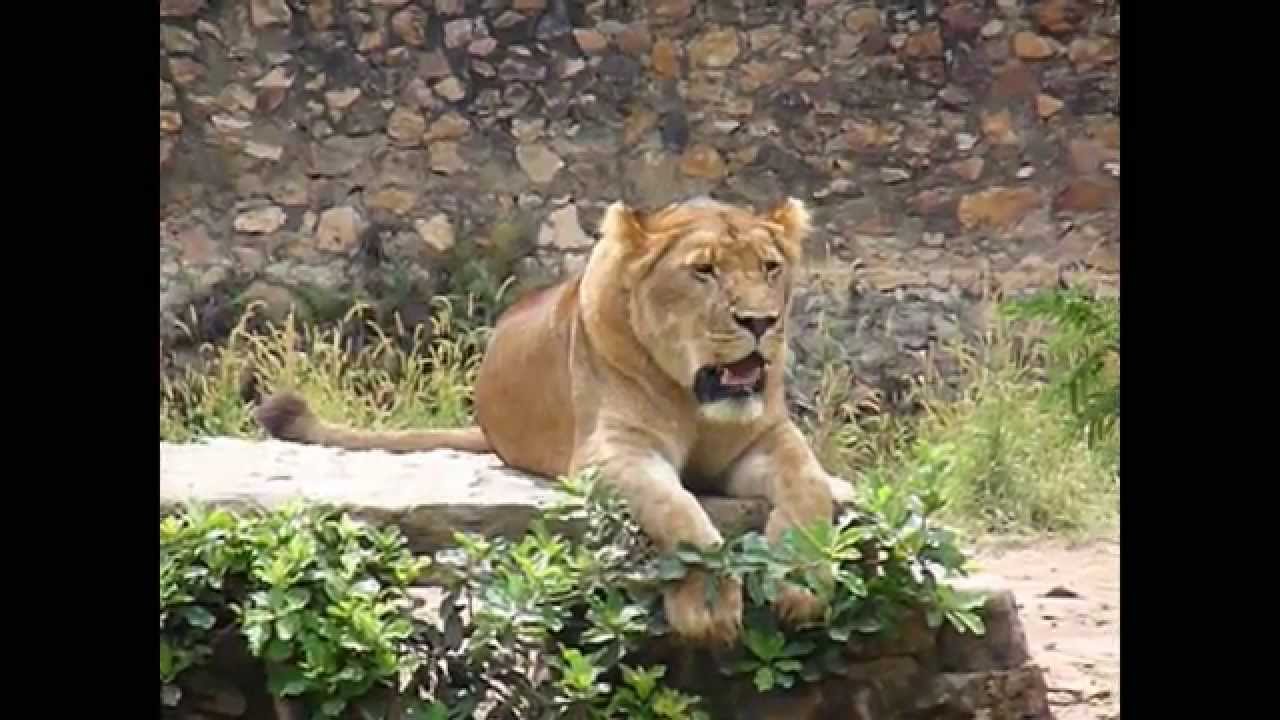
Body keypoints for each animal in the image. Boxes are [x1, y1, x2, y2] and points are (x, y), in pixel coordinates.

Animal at [255, 196, 842, 648]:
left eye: (770, 267)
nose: (761, 322)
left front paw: (804, 581)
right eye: (704, 271)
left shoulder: (764, 438)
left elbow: (807, 483)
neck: (693, 401)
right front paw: (710, 607)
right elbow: (681, 516)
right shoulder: (608, 454)